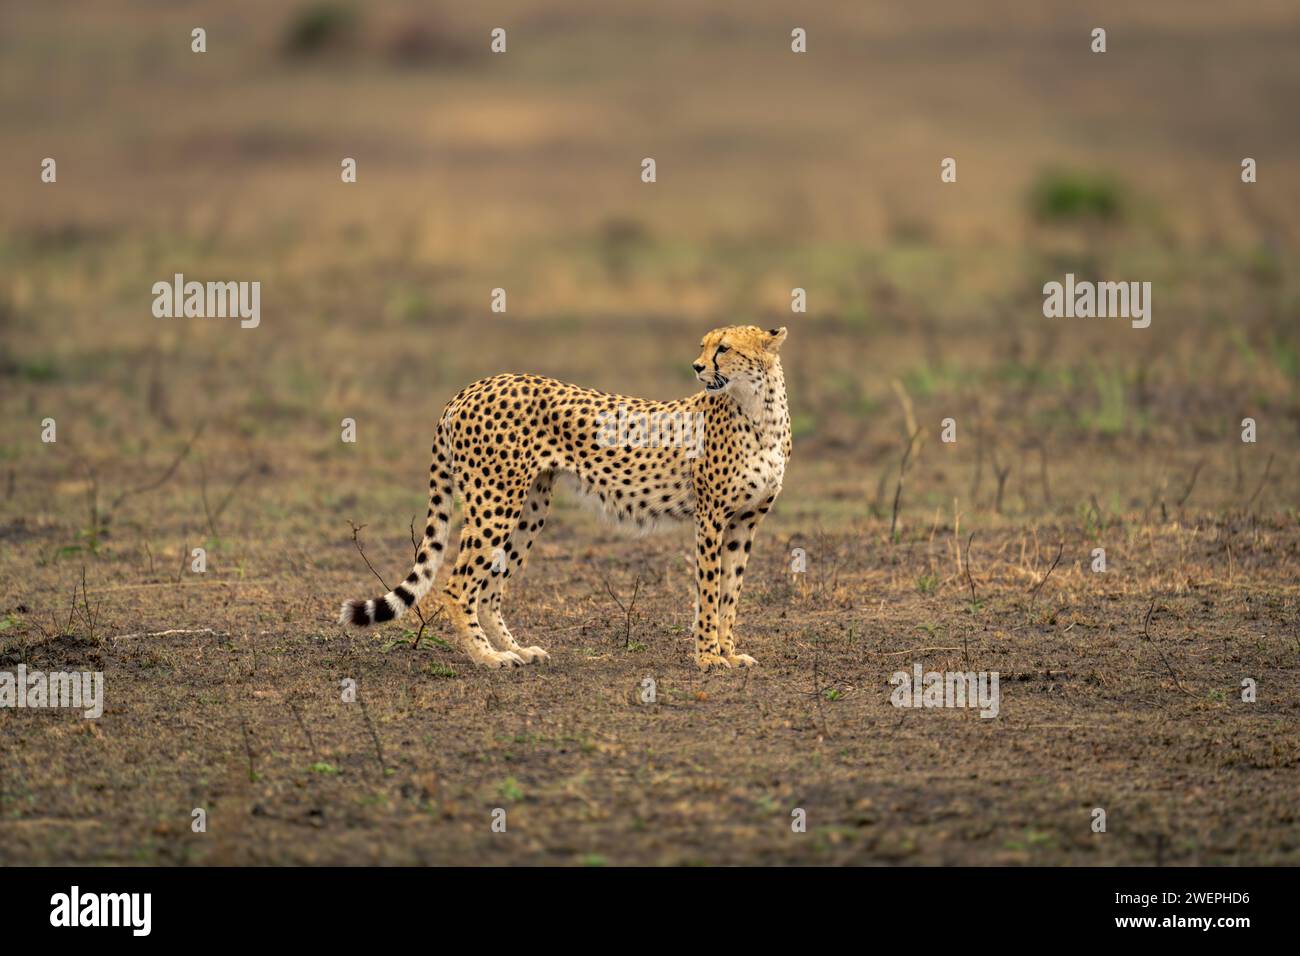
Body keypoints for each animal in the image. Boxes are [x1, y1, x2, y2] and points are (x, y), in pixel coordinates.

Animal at [338, 324, 791, 671]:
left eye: (724, 348)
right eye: (704, 346)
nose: (697, 366)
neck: (758, 410)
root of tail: (473, 387)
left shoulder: (744, 522)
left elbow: (730, 592)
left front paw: (729, 653)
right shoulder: (711, 518)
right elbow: (710, 592)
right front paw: (709, 657)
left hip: (528, 507)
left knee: (489, 587)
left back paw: (516, 650)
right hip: (495, 504)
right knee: (458, 585)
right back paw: (488, 658)